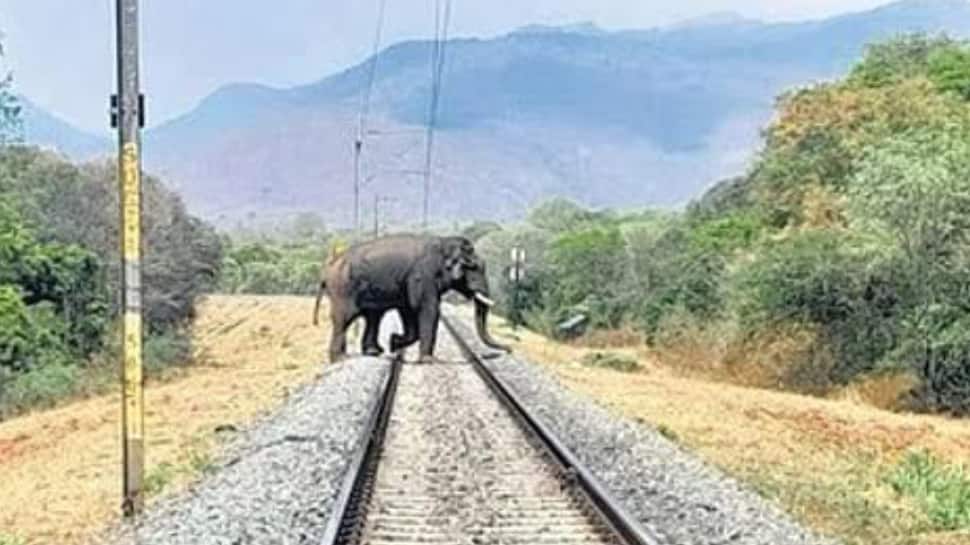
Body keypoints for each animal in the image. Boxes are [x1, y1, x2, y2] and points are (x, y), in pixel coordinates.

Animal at [312, 234, 510, 363]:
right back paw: (341, 358)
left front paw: (394, 342)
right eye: (475, 267)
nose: (509, 349)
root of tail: (327, 268)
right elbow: (428, 309)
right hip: (343, 288)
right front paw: (428, 360)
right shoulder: (423, 275)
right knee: (345, 318)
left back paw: (373, 352)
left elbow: (408, 309)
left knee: (372, 316)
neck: (444, 242)